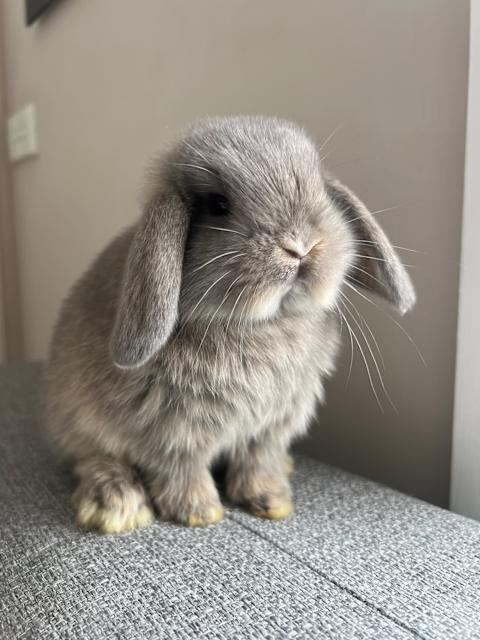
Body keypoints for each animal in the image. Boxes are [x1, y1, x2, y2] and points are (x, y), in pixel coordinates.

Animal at [46, 116, 415, 534]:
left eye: (320, 188)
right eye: (218, 205)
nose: (301, 247)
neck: (262, 324)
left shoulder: (271, 428)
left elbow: (257, 462)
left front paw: (272, 502)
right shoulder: (172, 431)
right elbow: (182, 469)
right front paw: (199, 512)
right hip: (78, 420)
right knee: (91, 459)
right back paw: (116, 505)